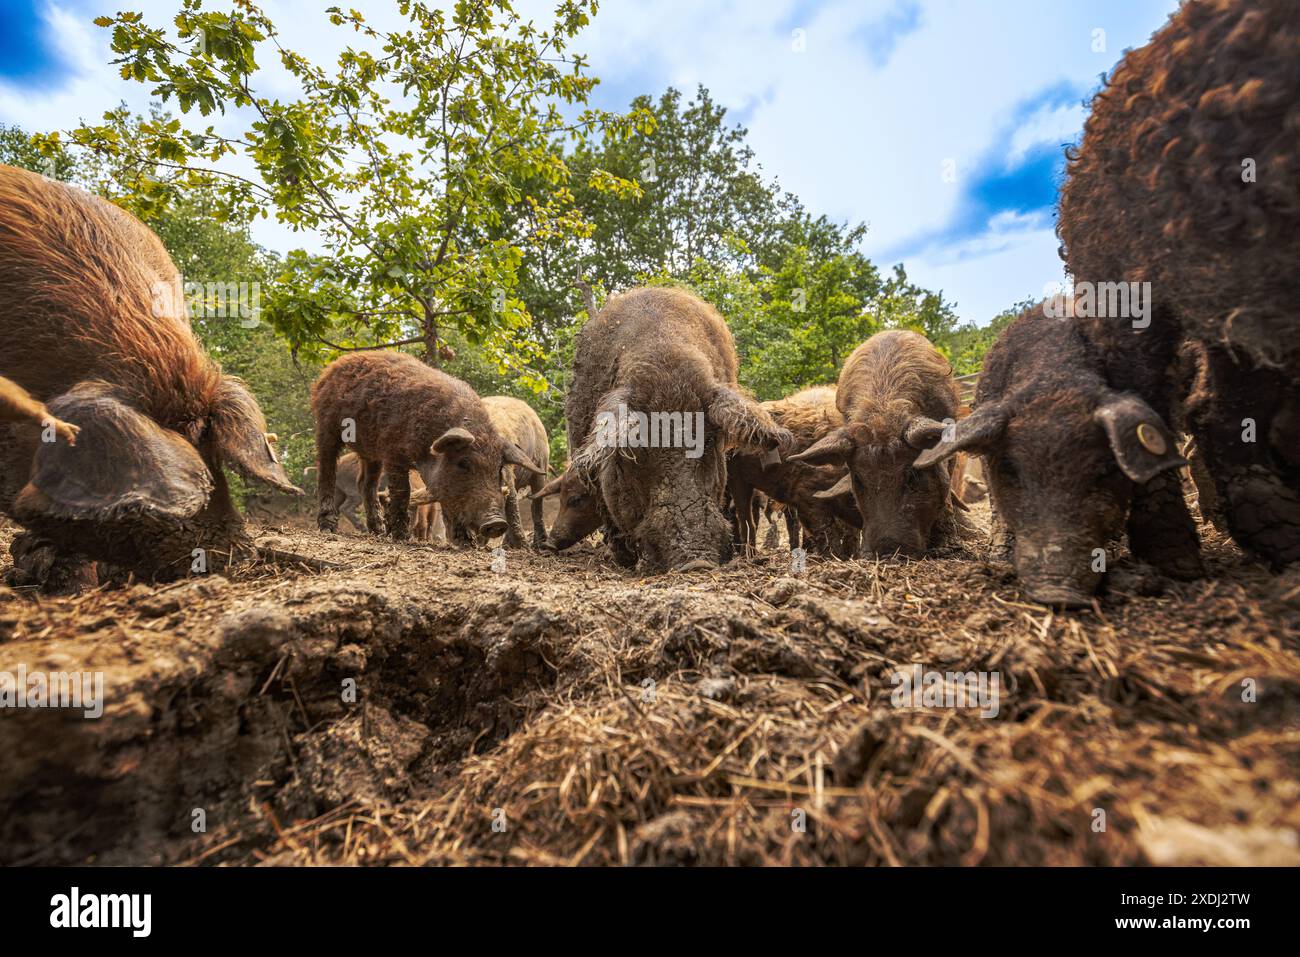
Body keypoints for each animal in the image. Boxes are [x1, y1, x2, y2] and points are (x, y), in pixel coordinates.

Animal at [311, 350, 543, 544]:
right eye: (463, 463)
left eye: (498, 469)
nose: (496, 523)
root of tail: (333, 367)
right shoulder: (393, 452)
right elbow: (402, 491)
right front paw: (402, 538)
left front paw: (466, 543)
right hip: (326, 427)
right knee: (326, 469)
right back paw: (328, 528)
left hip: (370, 451)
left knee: (366, 484)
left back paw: (377, 531)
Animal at [913, 303, 1198, 607]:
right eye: (1012, 470)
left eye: (1104, 472)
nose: (1057, 592)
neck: (1055, 379)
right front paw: (1000, 560)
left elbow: (1156, 478)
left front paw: (1181, 570)